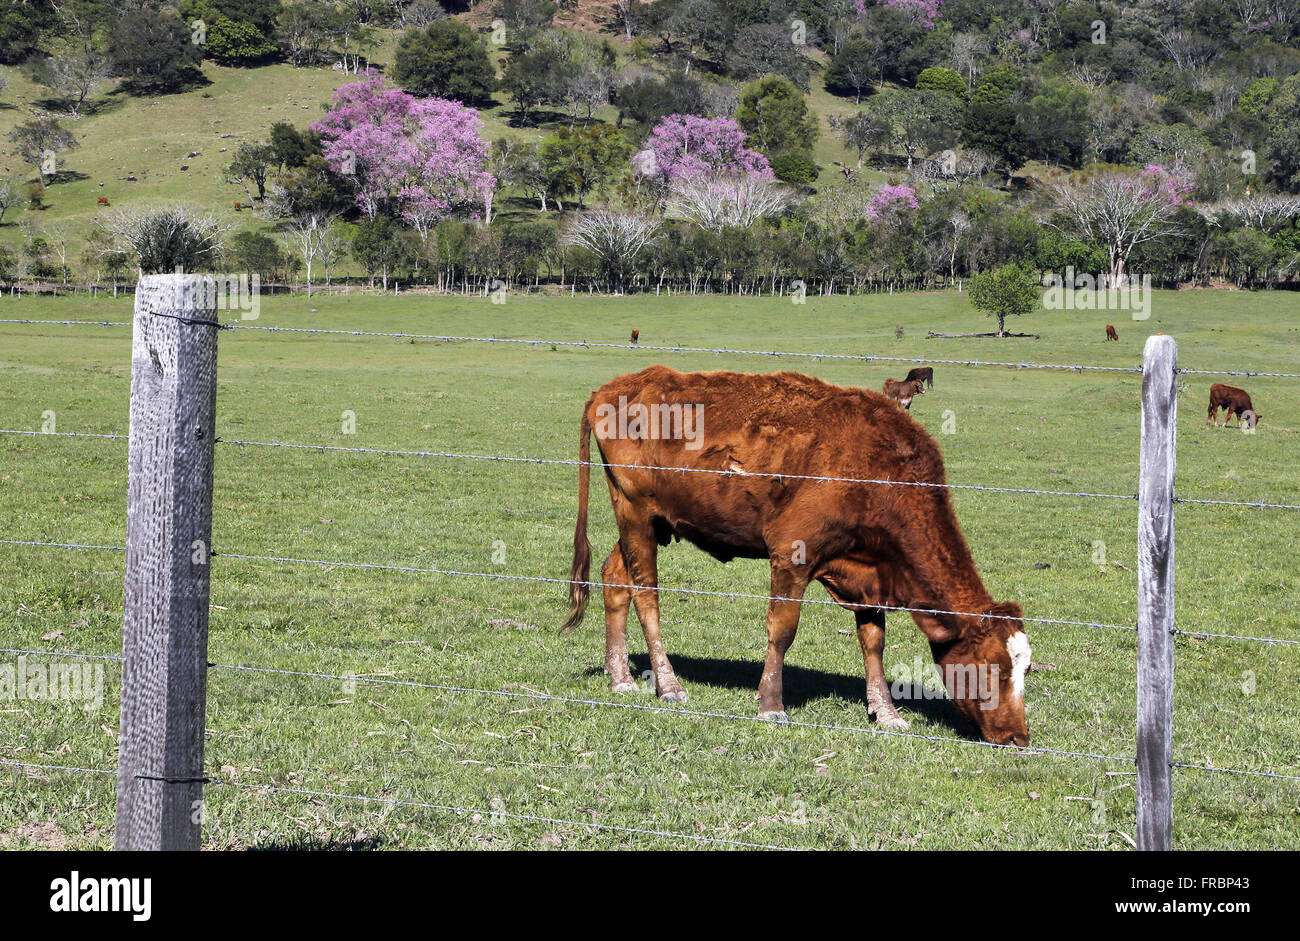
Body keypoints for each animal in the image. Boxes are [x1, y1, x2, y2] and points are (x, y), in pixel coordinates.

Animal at [561, 366, 1031, 746]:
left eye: (1026, 669)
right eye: (992, 666)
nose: (1019, 738)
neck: (879, 469)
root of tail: (616, 386)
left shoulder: (869, 573)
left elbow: (873, 641)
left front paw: (887, 712)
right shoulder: (791, 554)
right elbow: (782, 632)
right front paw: (771, 705)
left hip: (650, 521)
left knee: (614, 578)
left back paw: (621, 677)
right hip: (635, 511)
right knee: (646, 594)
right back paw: (669, 684)